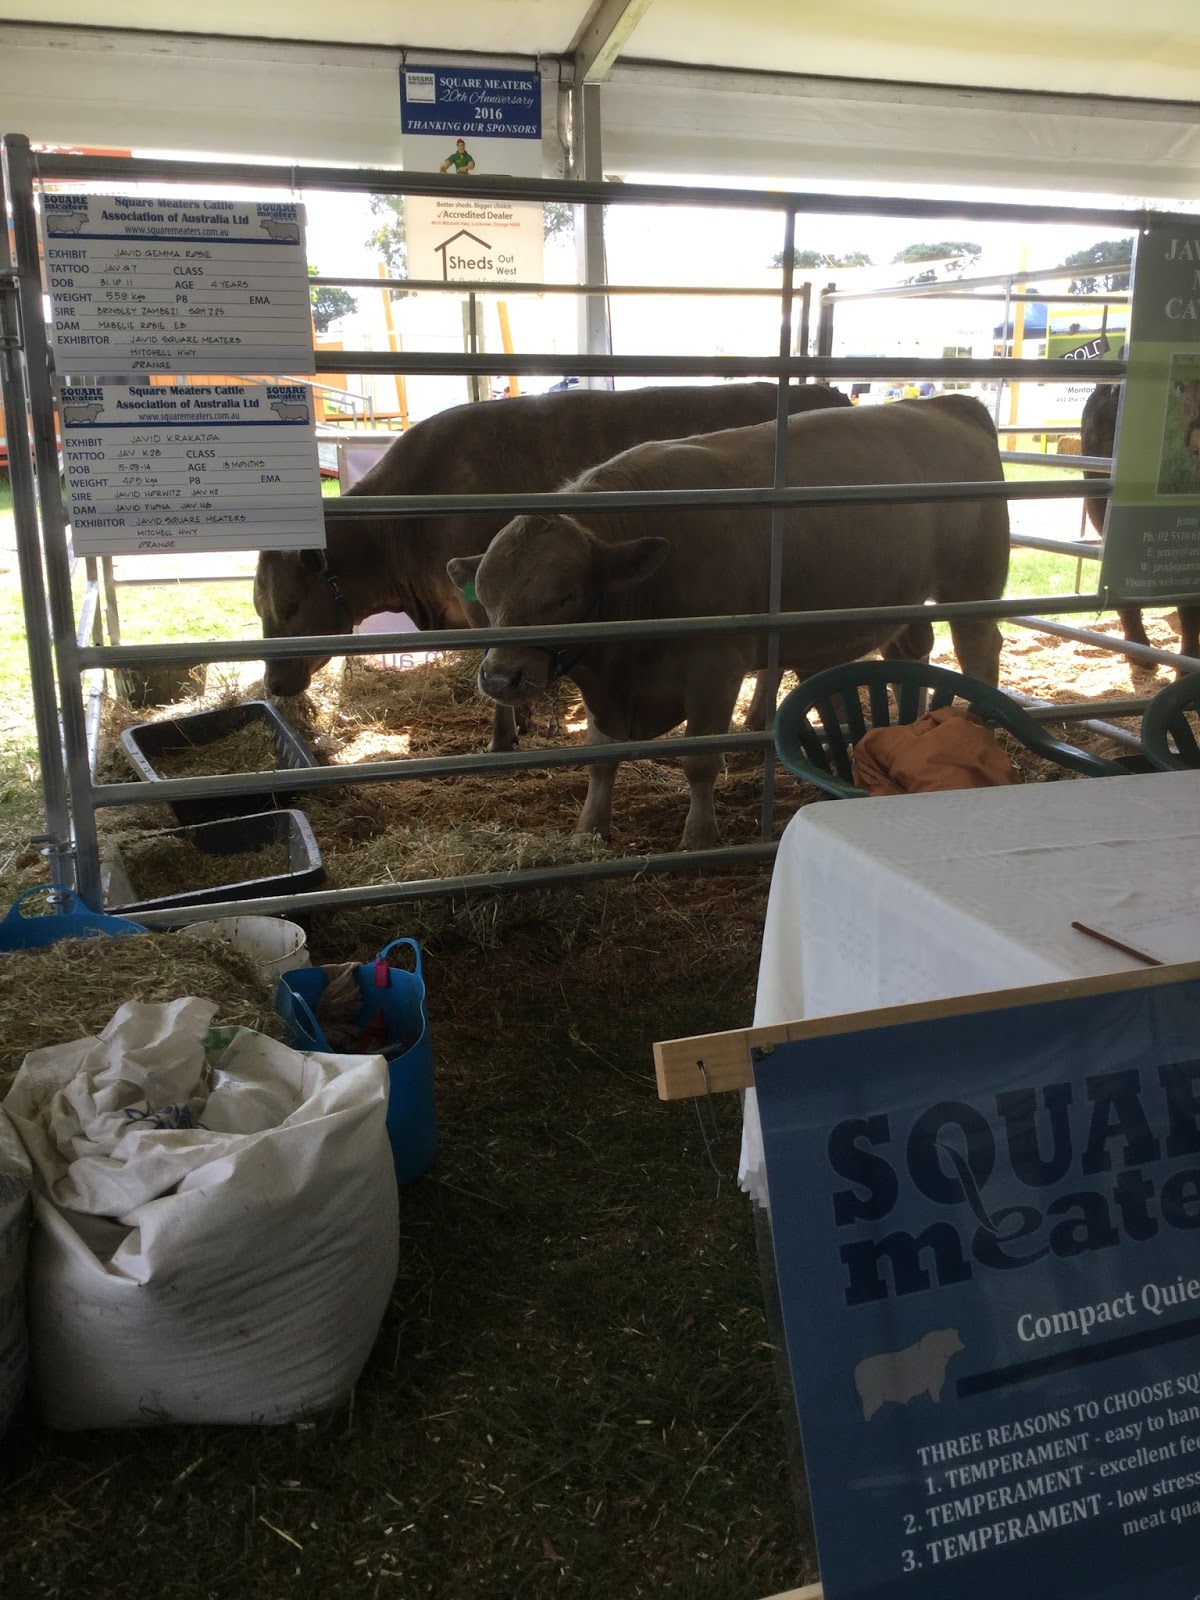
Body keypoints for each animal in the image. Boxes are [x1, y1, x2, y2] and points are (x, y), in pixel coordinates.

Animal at [449, 395, 1010, 850]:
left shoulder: (713, 669)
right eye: (487, 597)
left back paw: (981, 725)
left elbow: (699, 761)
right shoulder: (603, 682)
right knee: (911, 650)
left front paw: (699, 836)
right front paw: (590, 829)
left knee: (979, 649)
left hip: (973, 587)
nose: (500, 677)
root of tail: (948, 405)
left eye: (565, 595)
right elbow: (601, 758)